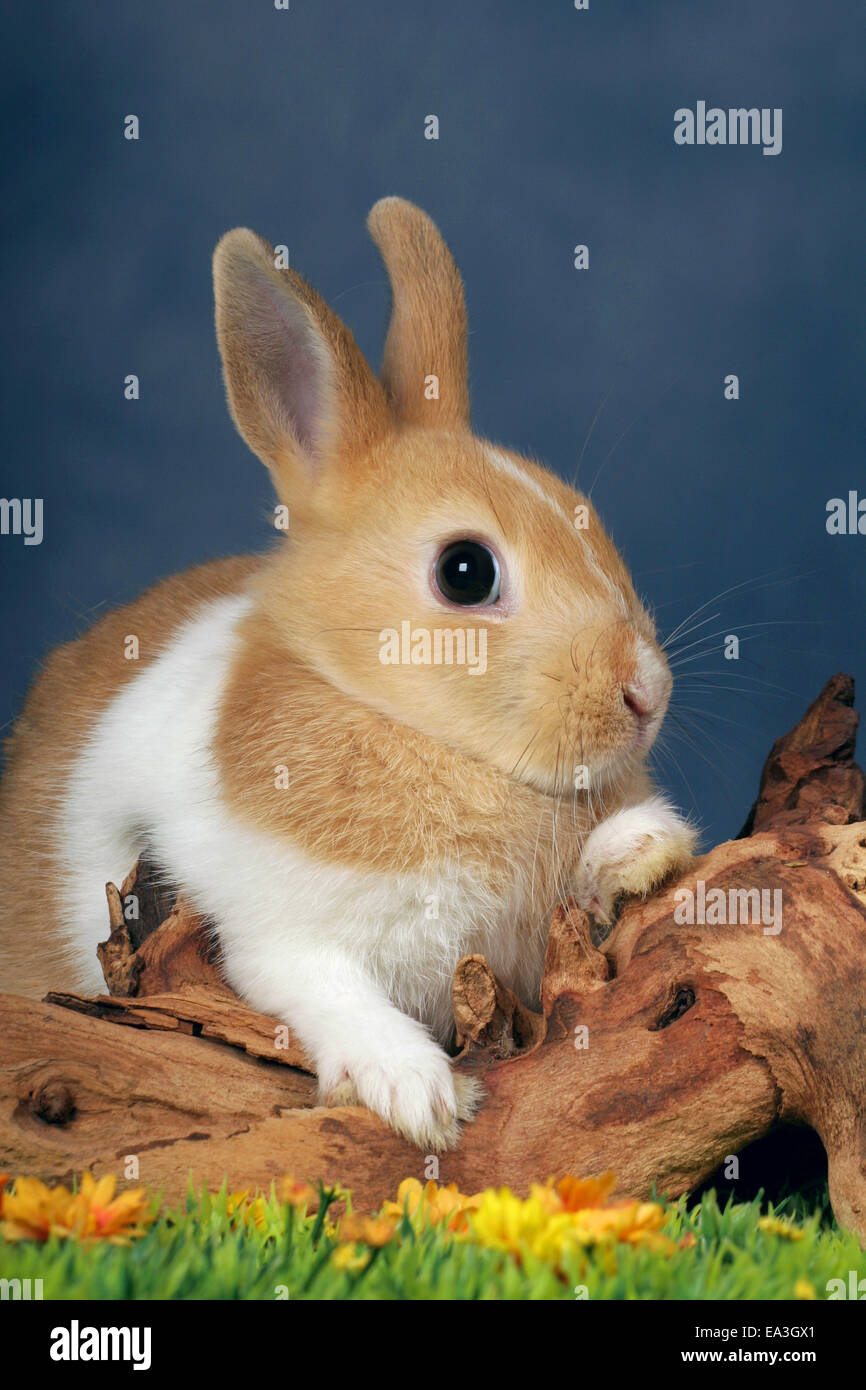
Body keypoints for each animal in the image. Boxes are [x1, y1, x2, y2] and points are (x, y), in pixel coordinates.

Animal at [0, 197, 696, 1150]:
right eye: (466, 572)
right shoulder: (272, 935)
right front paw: (420, 1096)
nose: (648, 693)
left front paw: (642, 847)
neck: (406, 727)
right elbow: (329, 993)